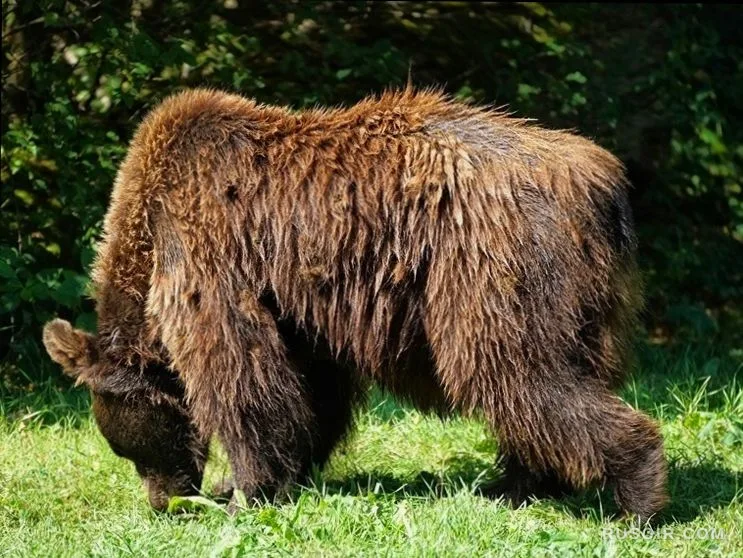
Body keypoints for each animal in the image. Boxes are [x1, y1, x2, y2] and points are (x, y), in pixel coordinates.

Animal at [43, 87, 667, 521]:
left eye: (127, 451)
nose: (164, 503)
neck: (147, 224)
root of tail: (601, 183)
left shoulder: (207, 251)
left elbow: (237, 372)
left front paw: (243, 491)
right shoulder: (296, 305)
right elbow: (309, 389)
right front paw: (276, 475)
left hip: (491, 266)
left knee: (514, 371)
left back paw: (638, 494)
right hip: (592, 301)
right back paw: (515, 485)